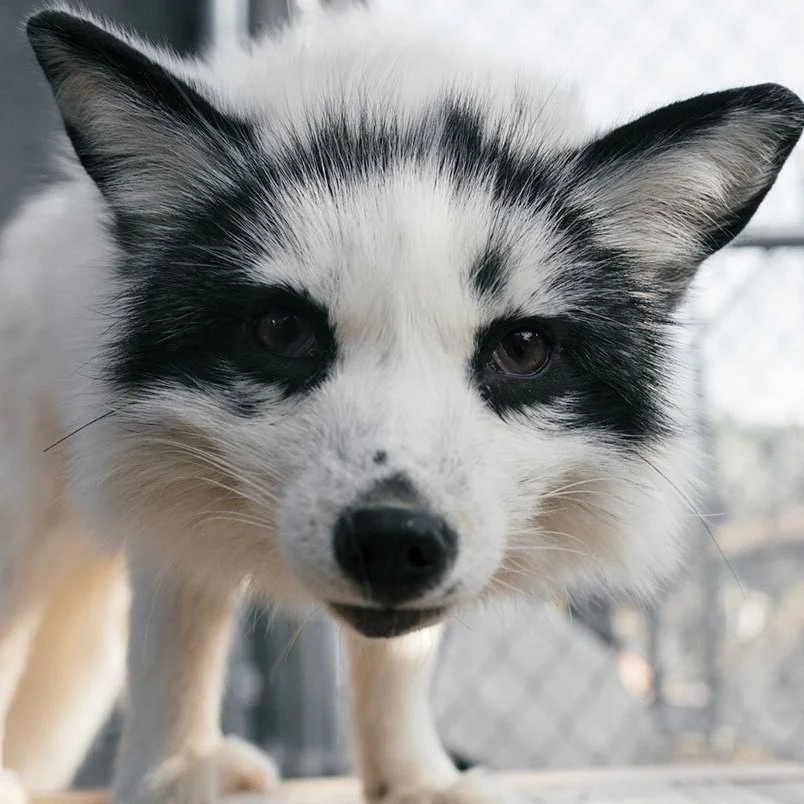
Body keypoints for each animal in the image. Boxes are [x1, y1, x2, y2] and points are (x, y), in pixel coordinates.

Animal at [0, 3, 802, 803]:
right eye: (281, 329)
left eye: (523, 349)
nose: (392, 540)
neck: (391, 95)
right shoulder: (161, 473)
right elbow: (178, 644)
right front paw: (168, 776)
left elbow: (398, 664)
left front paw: (416, 780)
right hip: (28, 535)